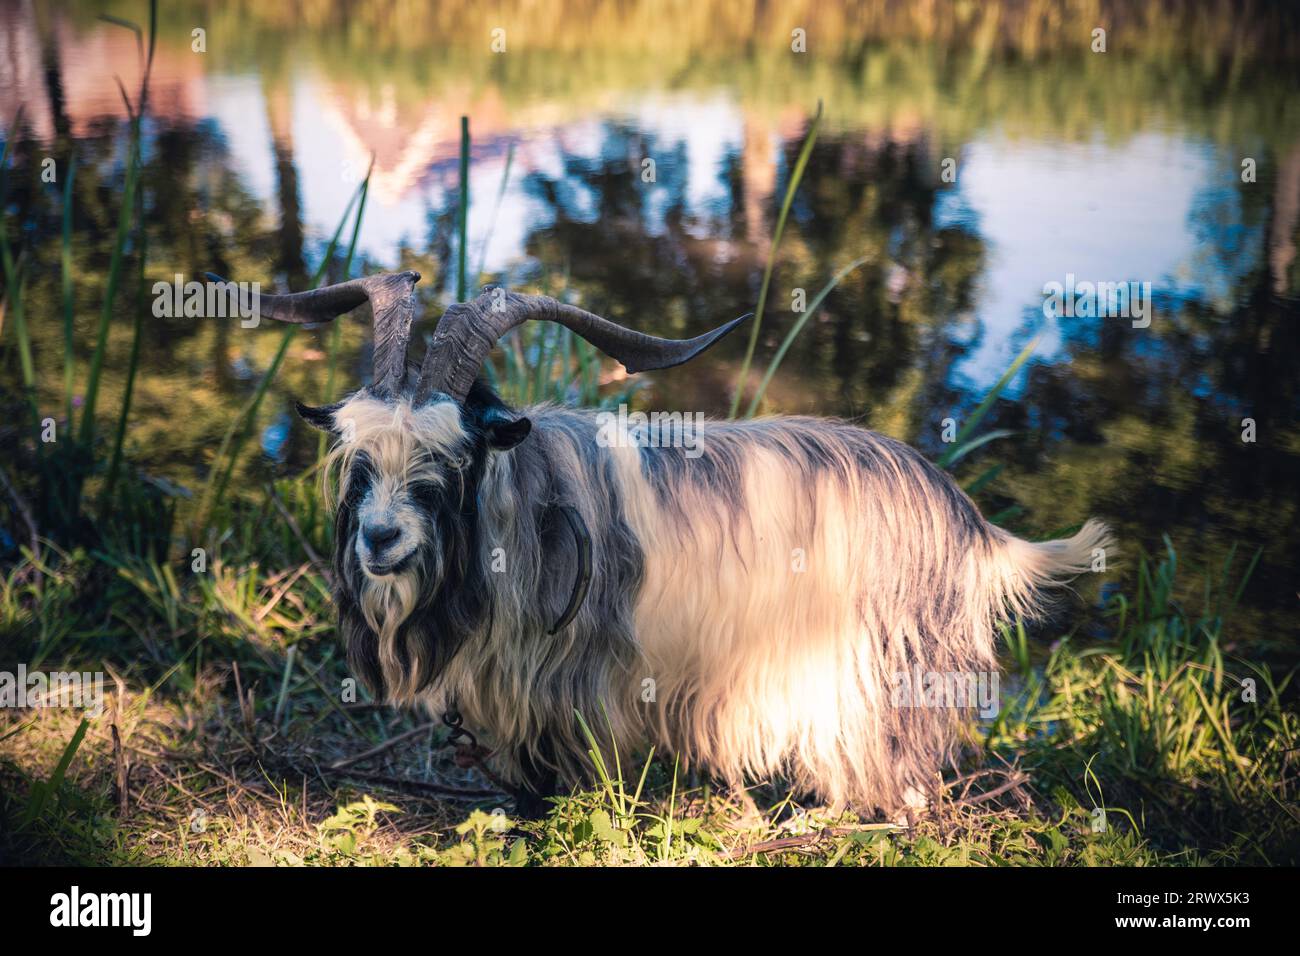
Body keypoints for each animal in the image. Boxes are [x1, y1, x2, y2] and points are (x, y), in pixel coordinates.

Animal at [219, 271, 1110, 814]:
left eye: (448, 458)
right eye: (360, 458)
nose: (380, 538)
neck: (517, 511)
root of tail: (969, 524)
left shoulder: (579, 676)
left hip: (880, 675)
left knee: (899, 772)